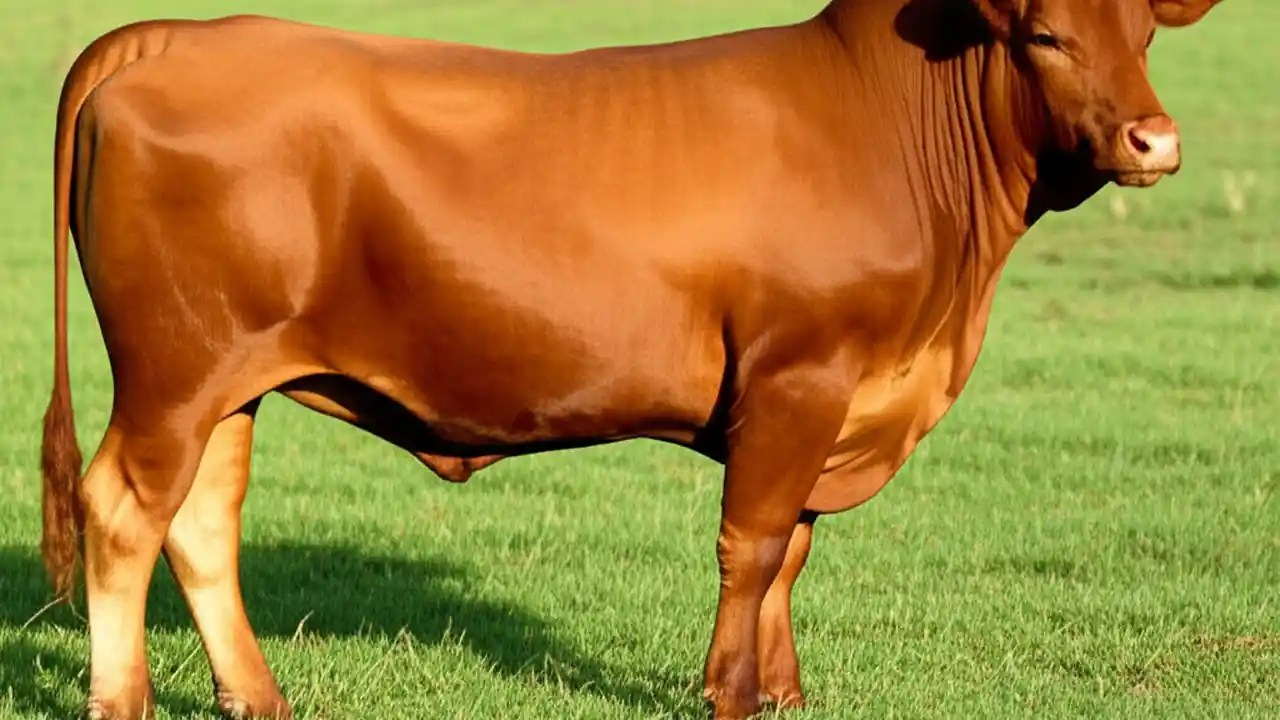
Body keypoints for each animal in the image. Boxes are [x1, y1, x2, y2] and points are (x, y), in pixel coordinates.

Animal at [39, 0, 1226, 718]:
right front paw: (732, 693)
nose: (1155, 141)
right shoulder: (797, 378)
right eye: (1043, 35)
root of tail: (184, 35)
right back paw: (123, 700)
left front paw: (786, 694)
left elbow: (792, 554)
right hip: (175, 373)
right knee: (125, 510)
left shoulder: (833, 400)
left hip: (226, 381)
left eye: (1143, 33)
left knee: (202, 517)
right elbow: (753, 548)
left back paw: (258, 697)